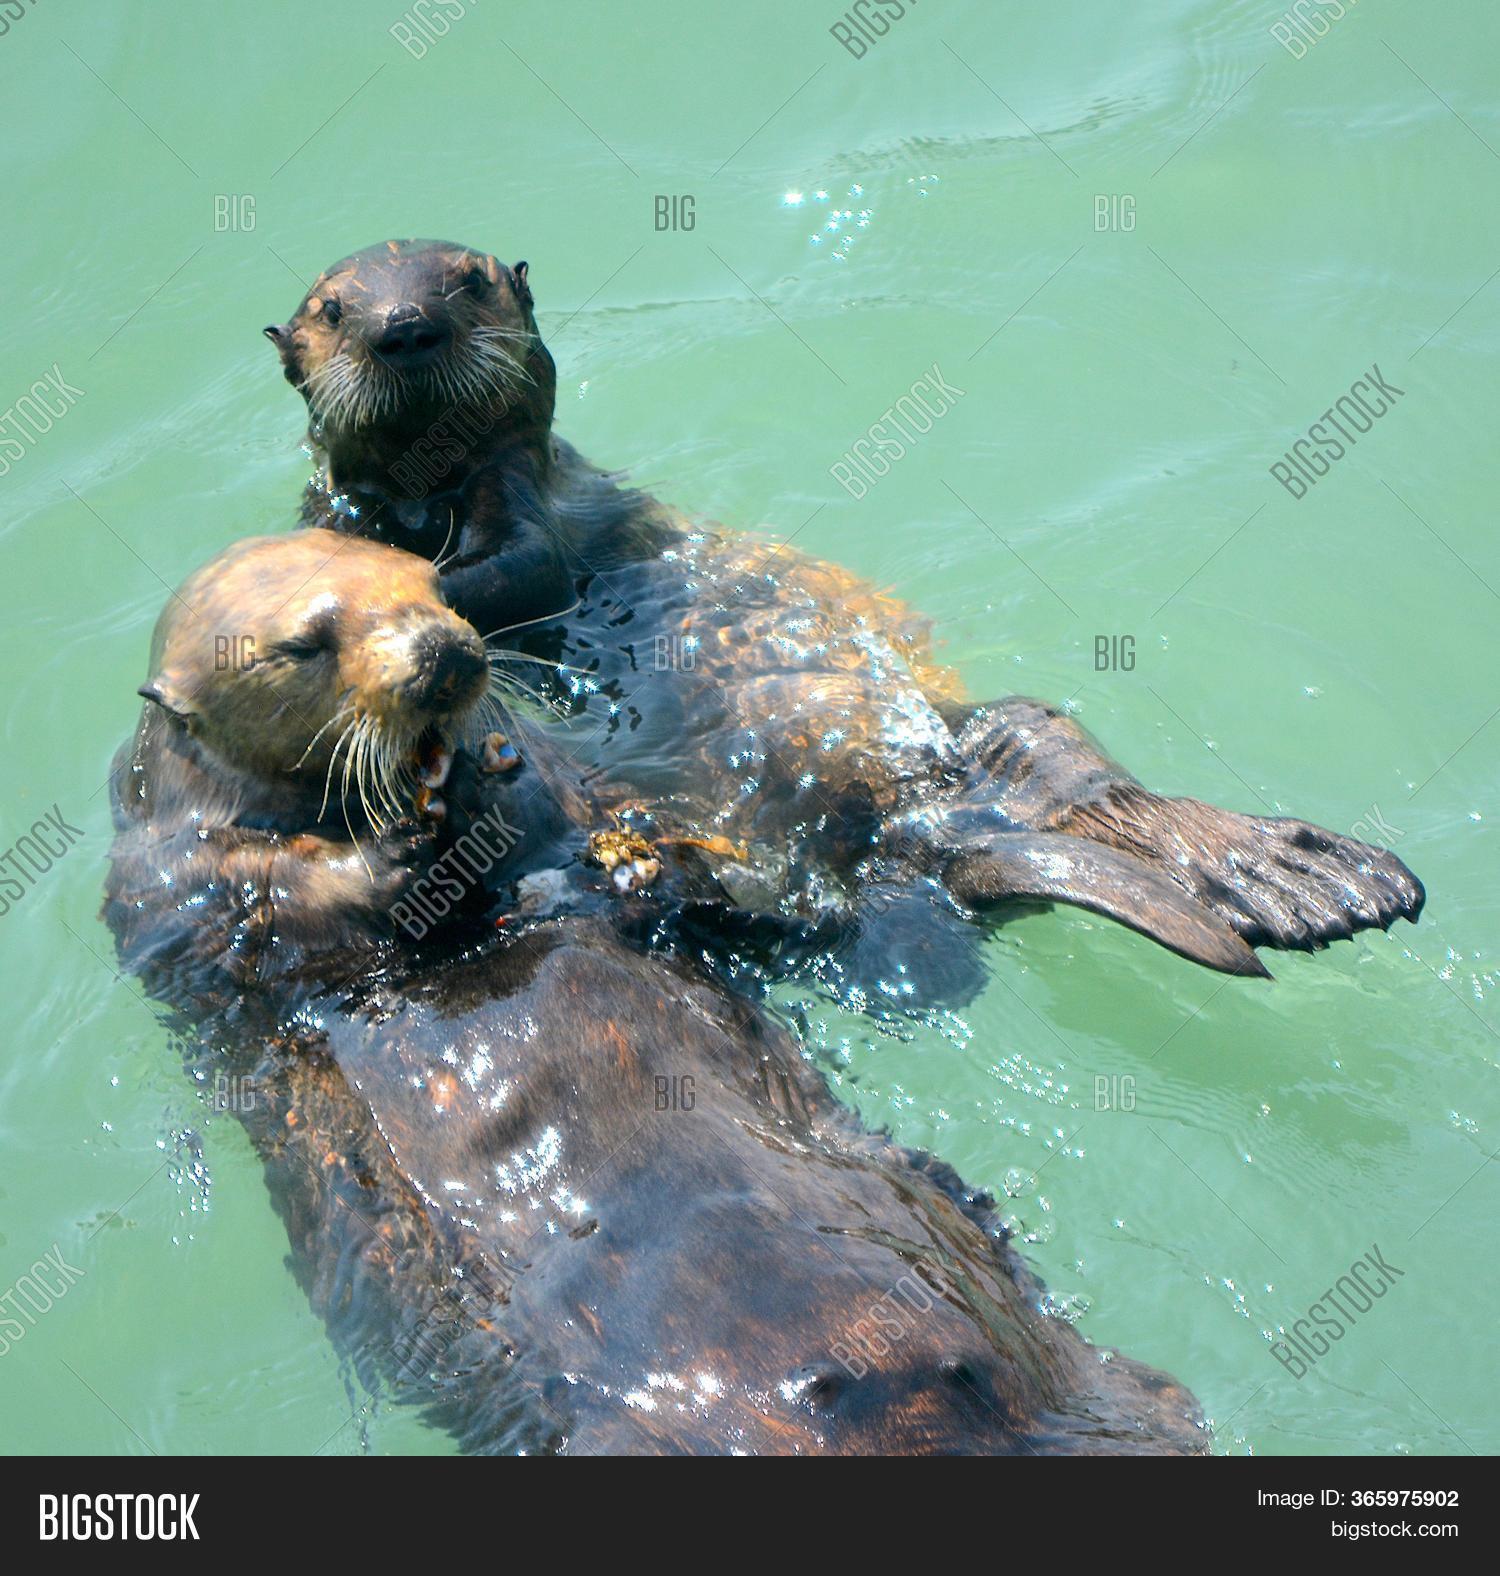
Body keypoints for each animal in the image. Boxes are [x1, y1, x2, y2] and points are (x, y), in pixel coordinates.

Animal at [106, 533, 1205, 1455]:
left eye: (431, 581)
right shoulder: (164, 894)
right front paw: (390, 846)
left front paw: (491, 785)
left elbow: (553, 816)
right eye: (306, 642)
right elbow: (259, 904)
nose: (448, 656)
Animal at [267, 240, 1424, 995]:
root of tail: (933, 850)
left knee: (1067, 776)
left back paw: (1303, 876)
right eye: (332, 309)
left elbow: (515, 573)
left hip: (971, 741)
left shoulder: (532, 501)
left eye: (465, 280)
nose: (404, 327)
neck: (427, 501)